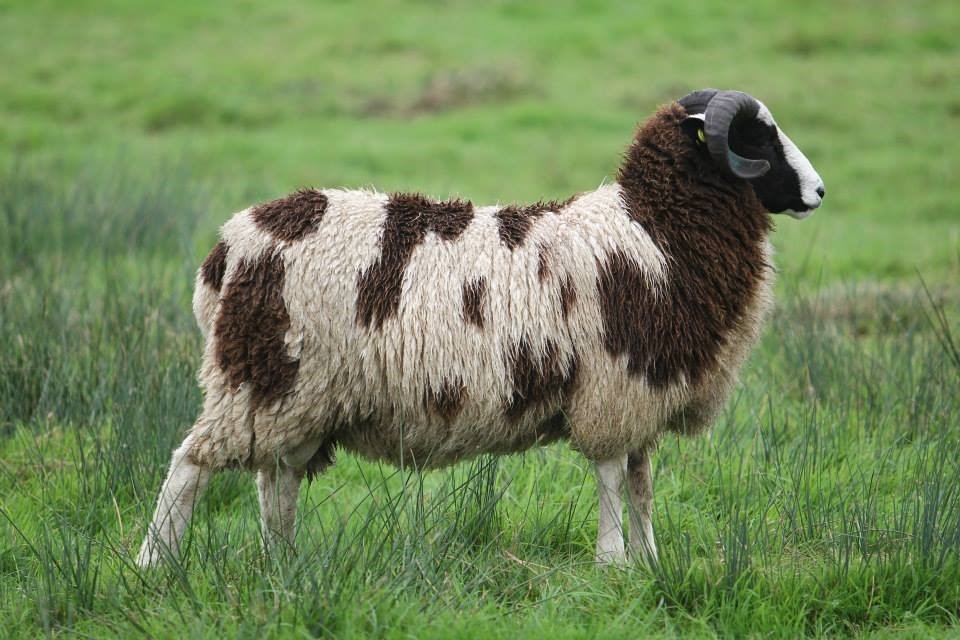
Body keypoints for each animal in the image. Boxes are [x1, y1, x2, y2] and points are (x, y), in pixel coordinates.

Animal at [137, 89, 825, 568]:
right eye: (757, 138)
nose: (819, 191)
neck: (656, 230)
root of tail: (227, 248)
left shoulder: (644, 390)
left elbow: (642, 483)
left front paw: (651, 561)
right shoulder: (612, 388)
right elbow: (611, 477)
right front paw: (613, 564)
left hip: (296, 393)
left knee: (276, 479)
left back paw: (283, 565)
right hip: (259, 377)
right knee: (190, 464)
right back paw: (154, 564)